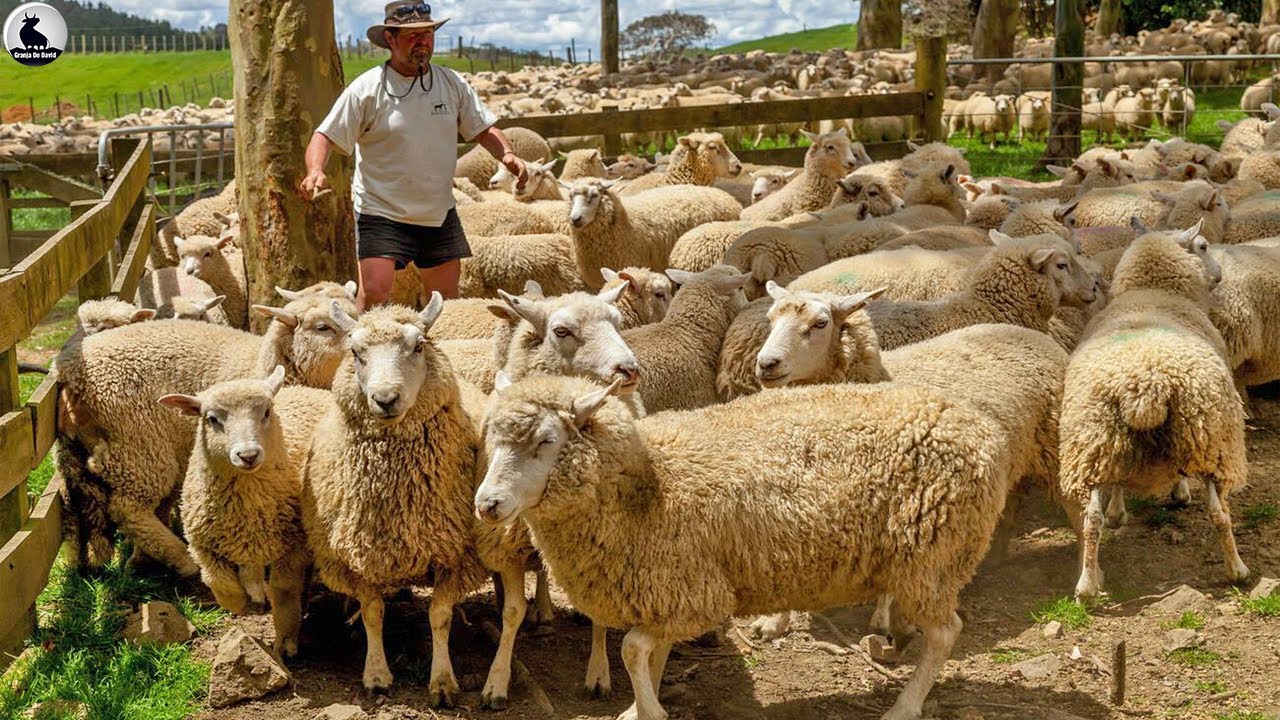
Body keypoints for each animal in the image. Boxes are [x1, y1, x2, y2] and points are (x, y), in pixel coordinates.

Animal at [55, 293, 356, 574]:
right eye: (322, 327)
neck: (259, 363)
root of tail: (70, 372)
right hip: (139, 443)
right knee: (127, 507)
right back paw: (180, 558)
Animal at [160, 366, 311, 658]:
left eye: (266, 411)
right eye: (211, 419)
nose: (248, 455)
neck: (247, 507)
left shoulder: (293, 547)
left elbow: (284, 590)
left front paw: (286, 639)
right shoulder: (202, 546)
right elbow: (219, 583)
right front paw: (239, 603)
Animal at [473, 373, 1012, 720]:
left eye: (546, 440)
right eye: (491, 438)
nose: (487, 504)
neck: (649, 485)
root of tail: (983, 429)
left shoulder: (696, 592)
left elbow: (631, 649)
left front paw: (649, 709)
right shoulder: (667, 591)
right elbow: (652, 653)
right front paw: (639, 708)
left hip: (935, 555)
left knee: (945, 633)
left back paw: (904, 707)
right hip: (913, 559)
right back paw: (892, 641)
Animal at [1061, 224, 1249, 601]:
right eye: (1203, 245)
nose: (1220, 274)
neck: (1152, 292)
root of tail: (1145, 386)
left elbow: (1117, 486)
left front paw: (1117, 512)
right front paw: (1180, 491)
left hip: (1093, 439)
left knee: (1091, 519)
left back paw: (1086, 587)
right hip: (1211, 434)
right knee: (1219, 512)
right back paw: (1237, 570)